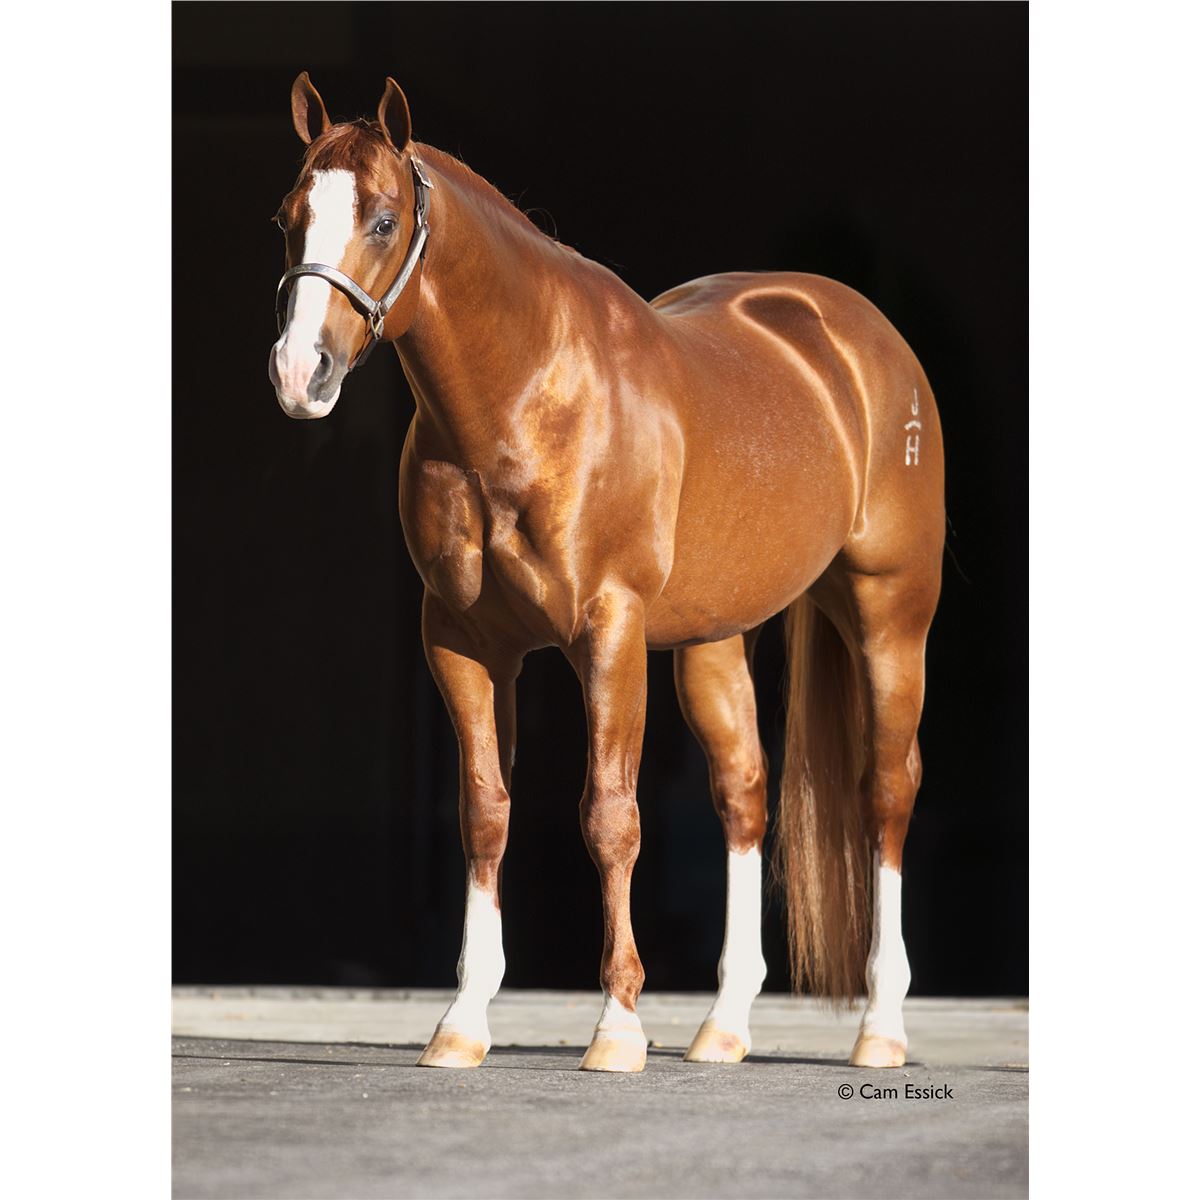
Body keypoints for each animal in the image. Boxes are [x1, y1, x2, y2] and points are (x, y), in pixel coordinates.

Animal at [268, 73, 944, 1074]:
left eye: (384, 220)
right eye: (287, 218)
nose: (298, 373)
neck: (528, 397)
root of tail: (858, 332)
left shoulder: (610, 634)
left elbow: (609, 817)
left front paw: (618, 1025)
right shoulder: (462, 644)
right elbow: (485, 813)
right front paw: (462, 1020)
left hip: (889, 615)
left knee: (886, 792)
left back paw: (882, 1030)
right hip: (712, 640)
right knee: (744, 793)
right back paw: (723, 1027)